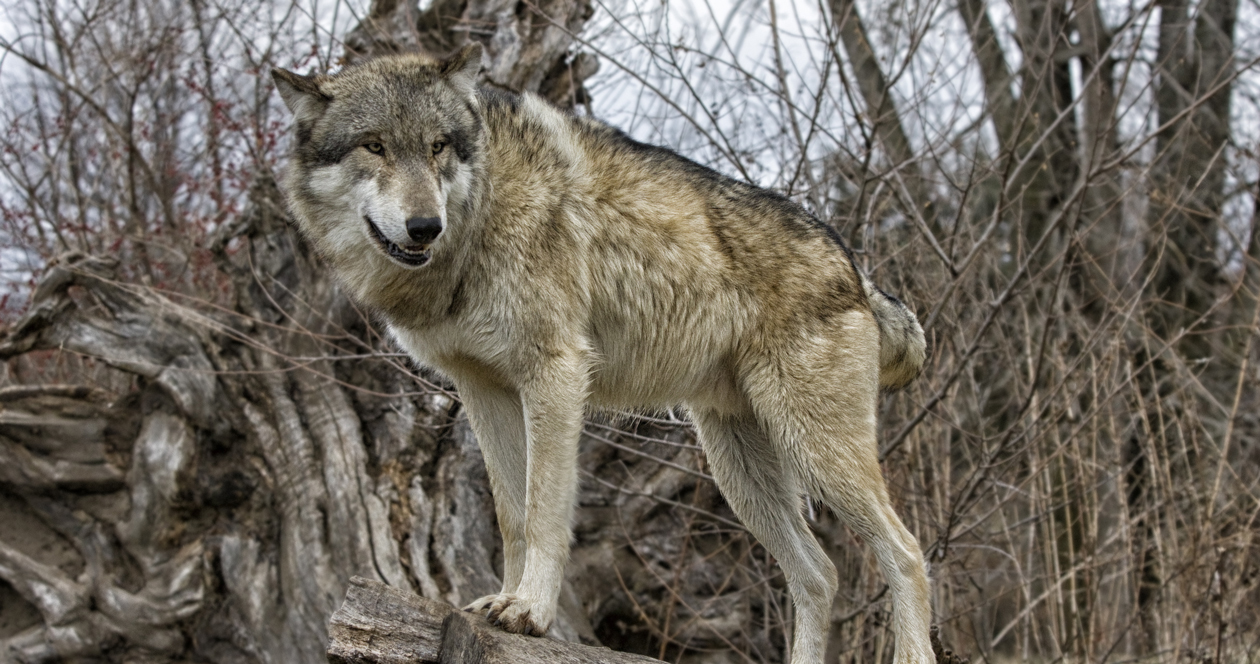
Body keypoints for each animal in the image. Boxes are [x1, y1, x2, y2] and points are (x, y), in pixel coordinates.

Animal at [273, 43, 933, 664]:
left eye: (438, 146)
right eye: (374, 146)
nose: (423, 227)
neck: (480, 214)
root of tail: (855, 267)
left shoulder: (555, 373)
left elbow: (543, 509)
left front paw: (530, 611)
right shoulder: (482, 389)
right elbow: (512, 515)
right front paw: (505, 598)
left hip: (813, 448)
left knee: (906, 551)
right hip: (739, 469)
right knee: (818, 574)